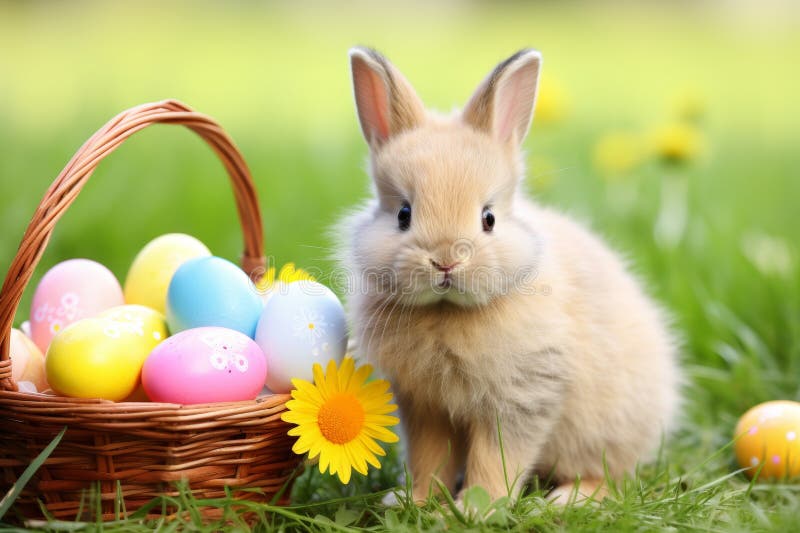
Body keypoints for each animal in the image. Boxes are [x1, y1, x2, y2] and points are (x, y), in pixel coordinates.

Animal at [336, 46, 681, 504]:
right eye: (403, 215)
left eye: (489, 218)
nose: (446, 261)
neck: (447, 312)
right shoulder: (424, 407)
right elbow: (430, 458)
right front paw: (417, 500)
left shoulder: (520, 398)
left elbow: (496, 459)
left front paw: (474, 508)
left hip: (602, 435)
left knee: (612, 476)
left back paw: (567, 499)